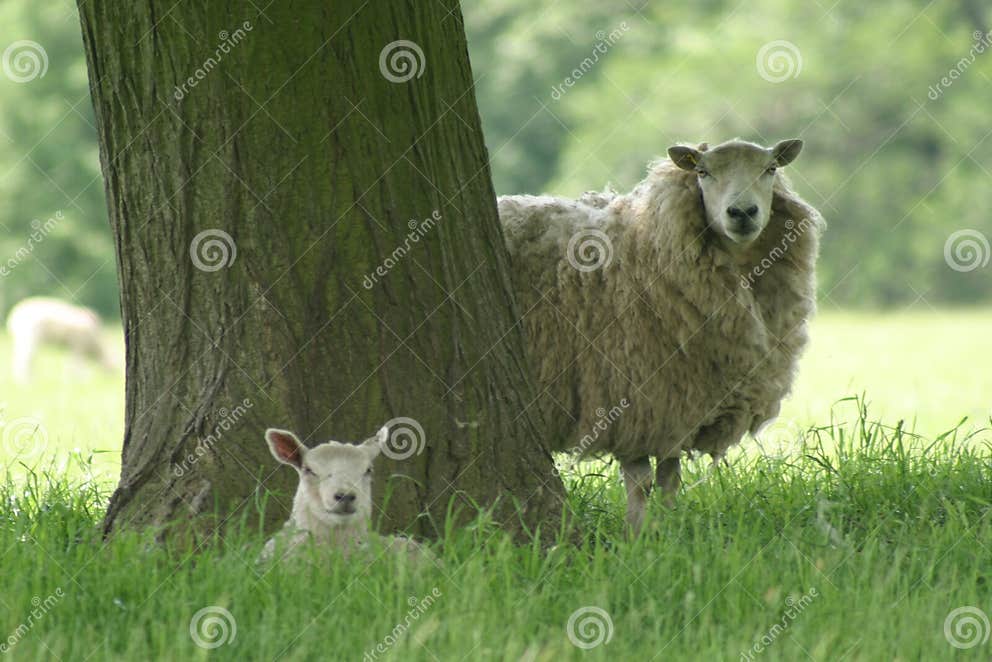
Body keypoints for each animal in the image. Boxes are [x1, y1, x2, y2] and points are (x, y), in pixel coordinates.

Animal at [498, 138, 824, 531]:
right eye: (703, 172)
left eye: (770, 169)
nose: (742, 212)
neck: (649, 243)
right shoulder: (633, 399)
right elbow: (640, 482)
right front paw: (636, 534)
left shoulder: (679, 405)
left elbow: (670, 477)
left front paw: (668, 527)